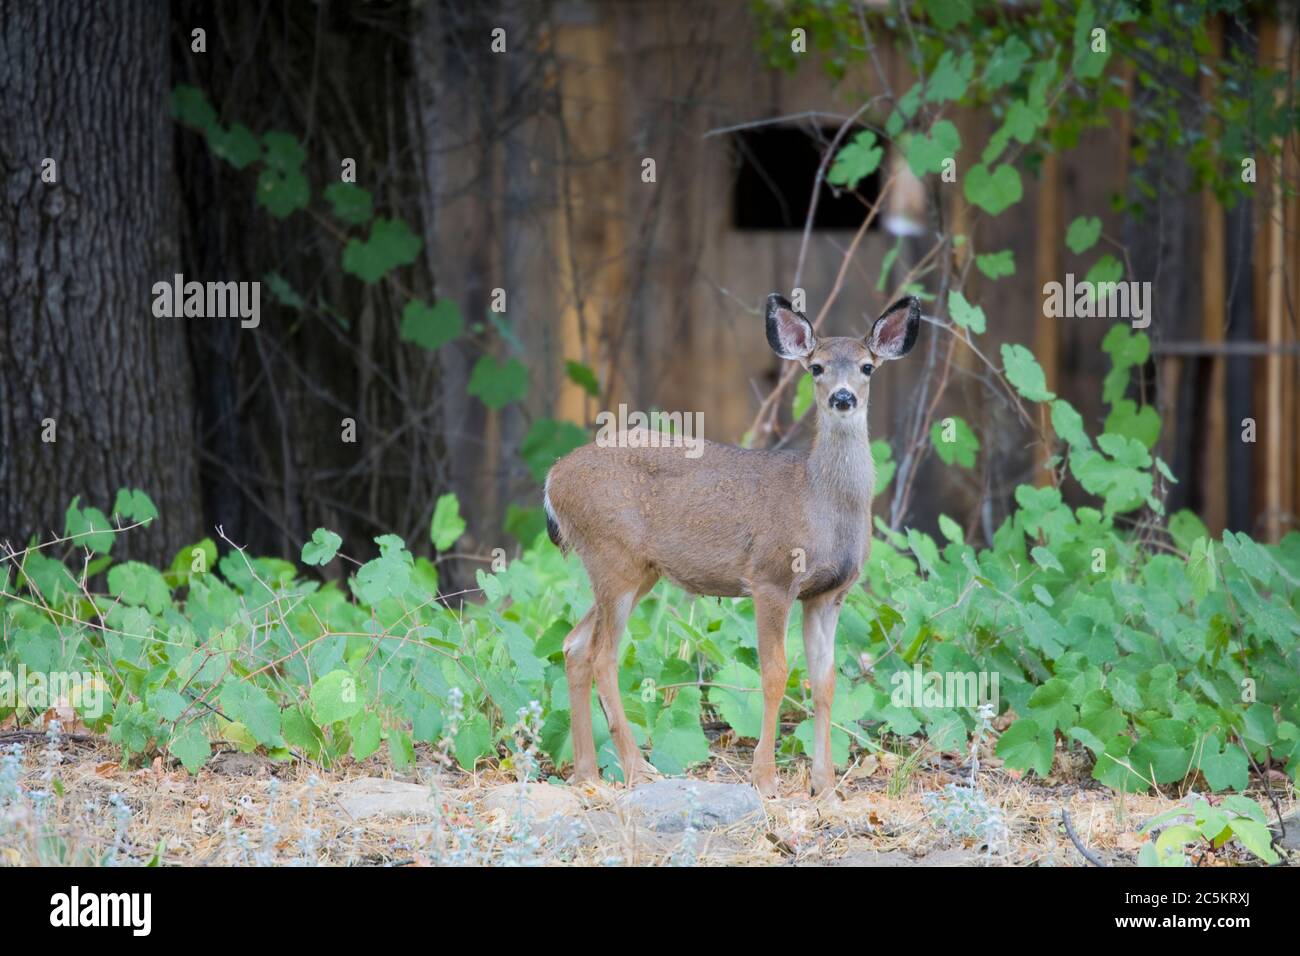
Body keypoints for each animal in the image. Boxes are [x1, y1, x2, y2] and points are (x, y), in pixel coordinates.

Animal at [543, 293, 921, 797]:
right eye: (816, 367)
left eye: (866, 367)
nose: (843, 397)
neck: (819, 501)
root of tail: (553, 479)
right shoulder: (771, 578)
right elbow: (776, 674)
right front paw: (765, 777)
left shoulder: (828, 594)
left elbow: (825, 681)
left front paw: (824, 784)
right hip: (612, 556)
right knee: (603, 655)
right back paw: (637, 769)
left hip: (637, 571)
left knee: (574, 645)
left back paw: (587, 773)